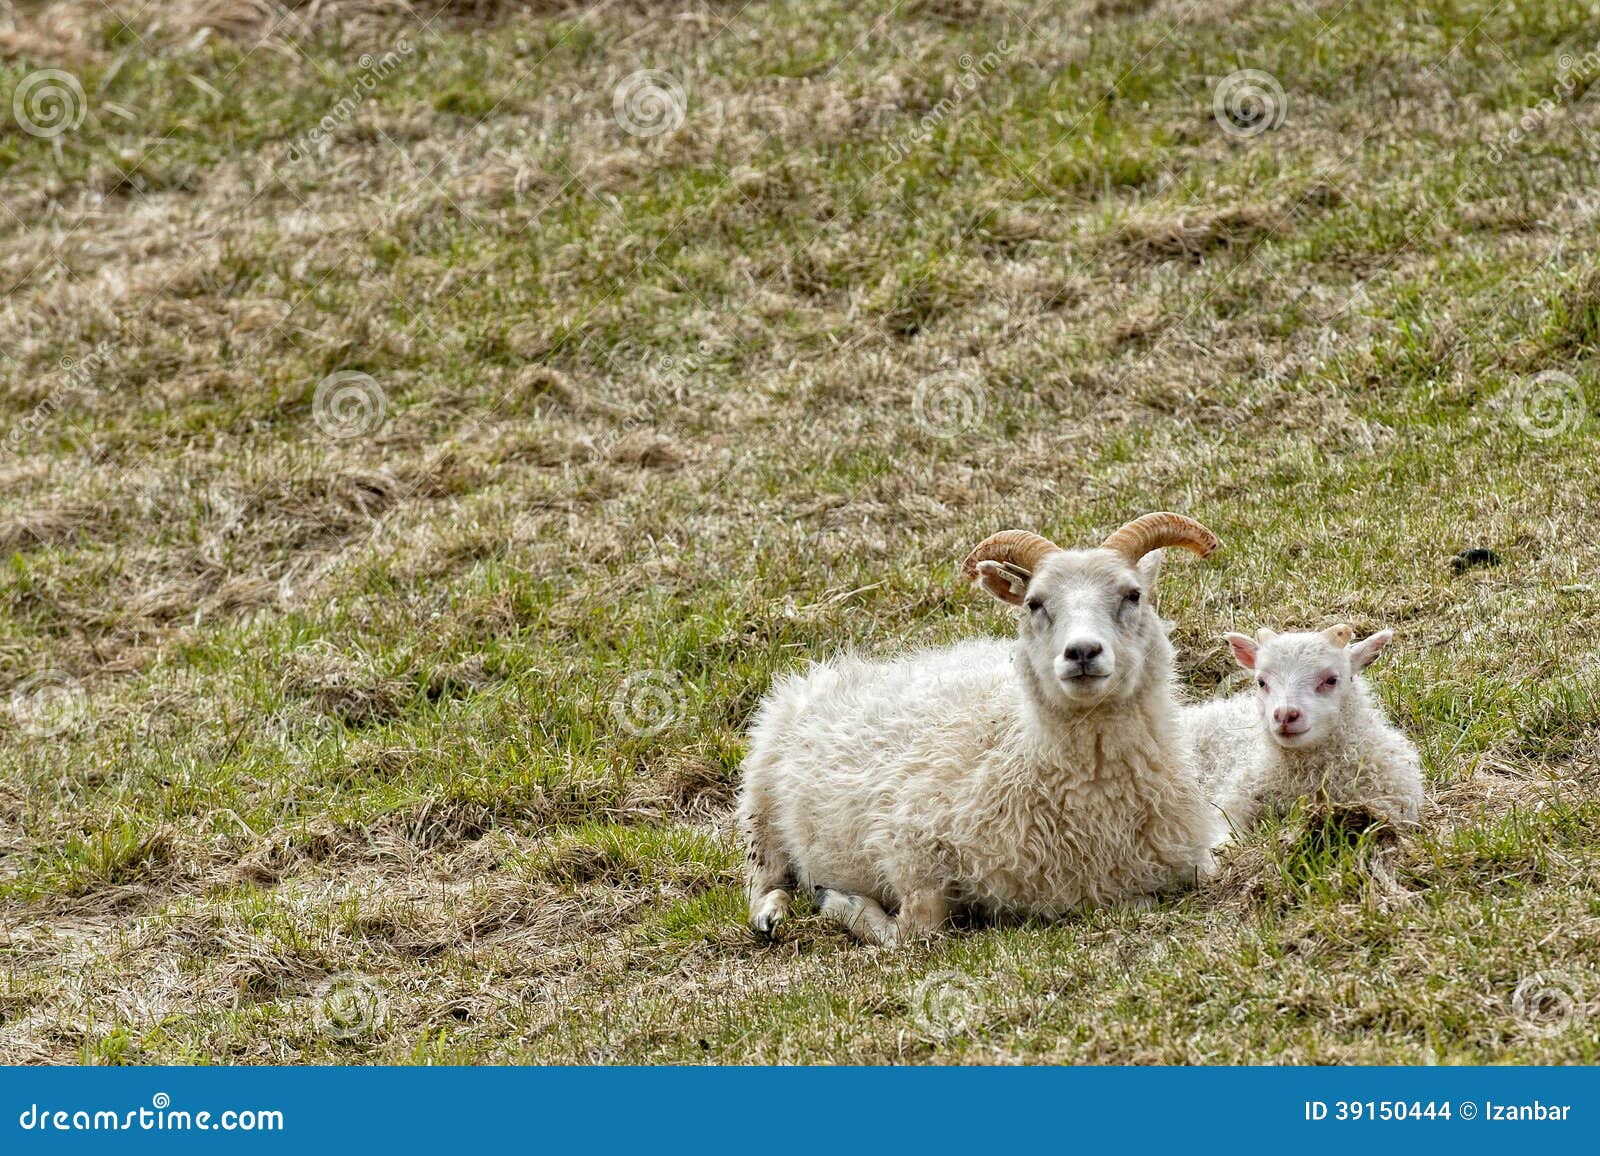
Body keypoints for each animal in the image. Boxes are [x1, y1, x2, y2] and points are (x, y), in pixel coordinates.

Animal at [736, 512, 1226, 946]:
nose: (1082, 652)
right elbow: (915, 929)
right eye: (1034, 603)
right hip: (761, 799)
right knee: (764, 875)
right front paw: (839, 903)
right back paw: (771, 914)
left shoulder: (1187, 866)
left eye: (1133, 595)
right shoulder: (906, 841)